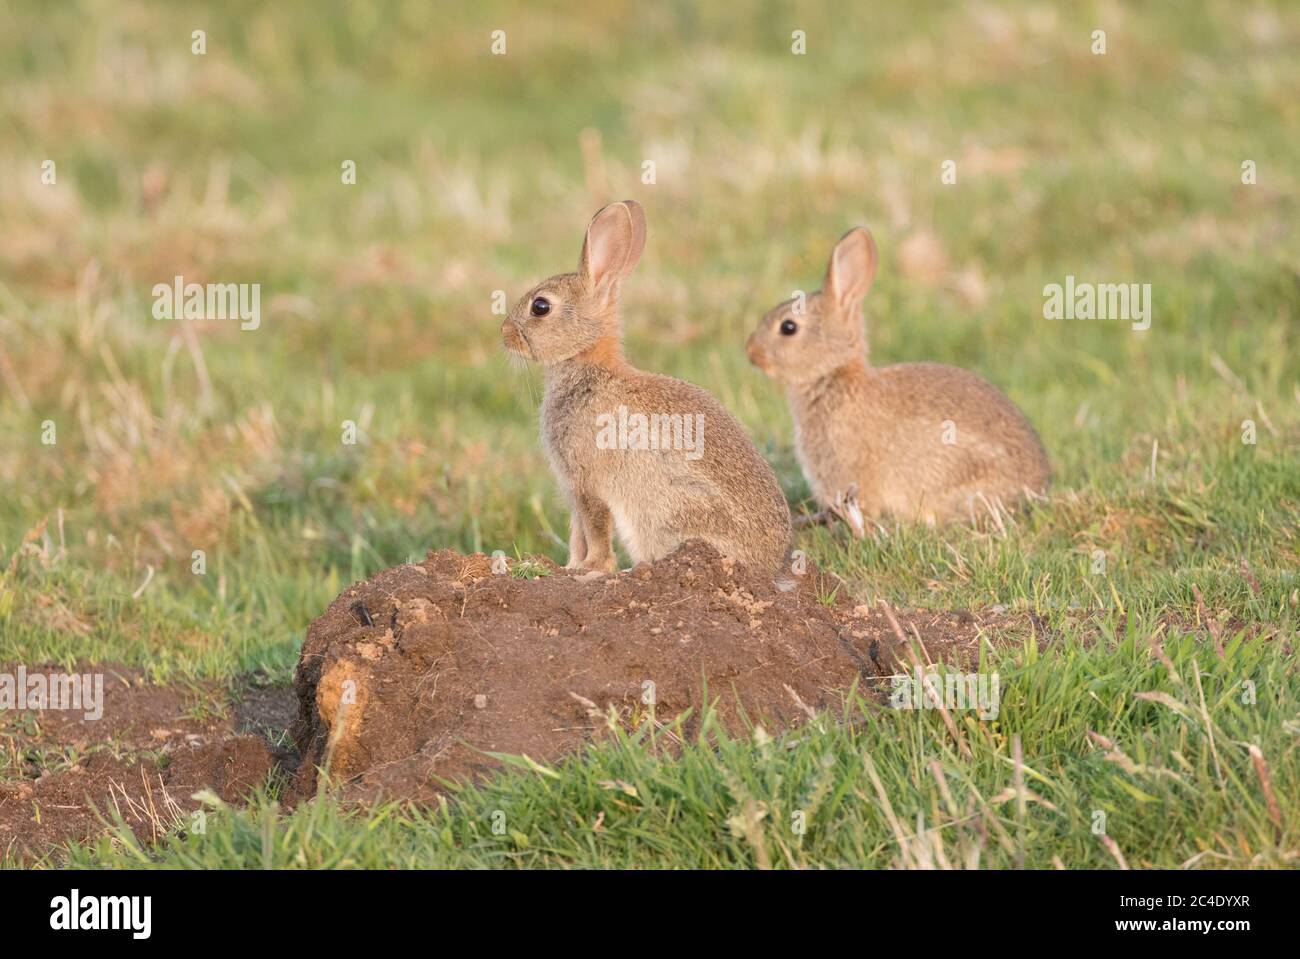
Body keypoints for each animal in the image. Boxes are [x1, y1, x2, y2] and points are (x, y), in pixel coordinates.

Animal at [502, 200, 792, 573]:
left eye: (540, 306)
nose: (504, 333)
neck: (589, 365)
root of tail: (766, 570)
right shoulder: (572, 487)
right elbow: (578, 532)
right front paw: (570, 568)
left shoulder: (587, 484)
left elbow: (595, 529)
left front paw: (589, 571)